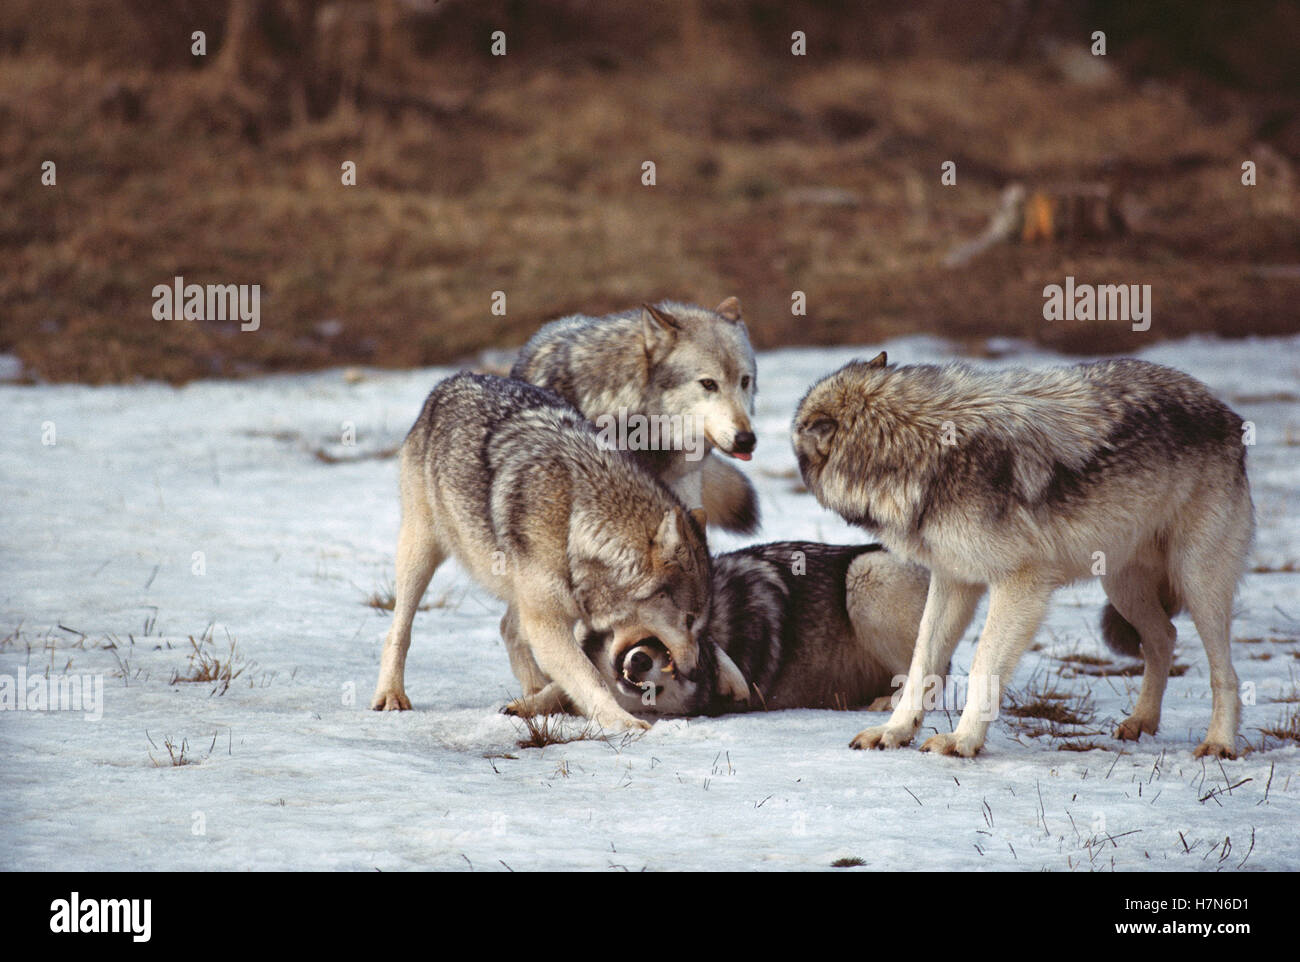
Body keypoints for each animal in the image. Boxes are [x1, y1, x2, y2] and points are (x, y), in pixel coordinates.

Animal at [370, 372, 723, 732]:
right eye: (689, 619)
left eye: (702, 625)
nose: (696, 671)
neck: (577, 524)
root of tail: (451, 380)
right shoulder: (546, 623)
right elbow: (592, 677)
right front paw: (622, 722)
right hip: (421, 555)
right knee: (398, 630)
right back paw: (391, 695)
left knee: (507, 628)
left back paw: (533, 692)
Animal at [507, 541, 930, 717]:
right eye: (650, 638)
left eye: (674, 664)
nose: (641, 660)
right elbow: (570, 680)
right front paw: (529, 705)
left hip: (867, 573)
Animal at [792, 352, 1253, 758]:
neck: (918, 449)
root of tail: (1224, 411)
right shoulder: (953, 580)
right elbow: (922, 662)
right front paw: (894, 732)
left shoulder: (1019, 584)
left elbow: (982, 667)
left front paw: (961, 741)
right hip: (1121, 585)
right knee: (1164, 638)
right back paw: (1142, 721)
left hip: (1197, 581)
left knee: (1225, 672)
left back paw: (1218, 744)